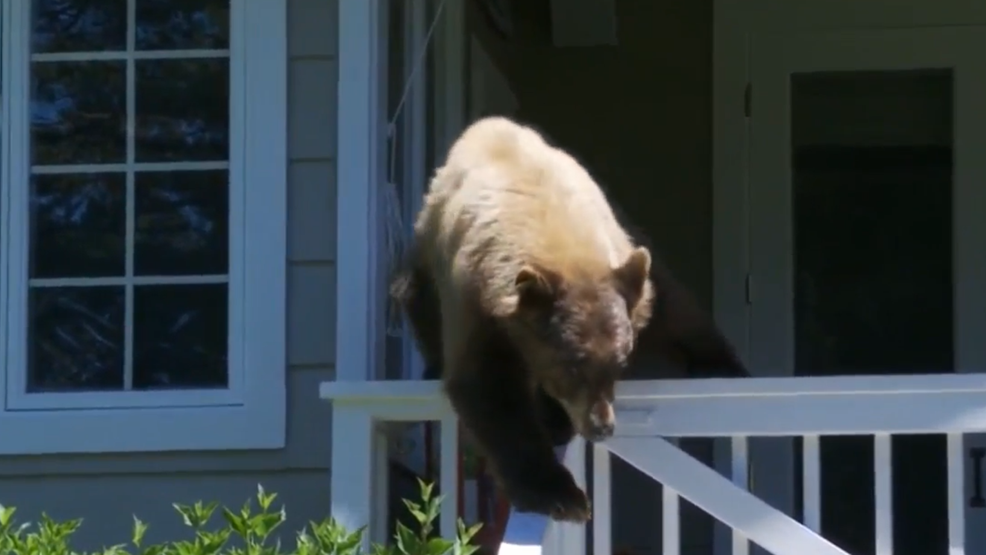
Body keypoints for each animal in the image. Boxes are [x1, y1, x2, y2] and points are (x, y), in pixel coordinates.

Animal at [399, 116, 656, 523]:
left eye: (621, 362)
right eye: (572, 365)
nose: (602, 427)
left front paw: (557, 422)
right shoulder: (473, 297)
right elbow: (489, 386)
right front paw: (560, 495)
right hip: (427, 248)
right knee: (417, 298)